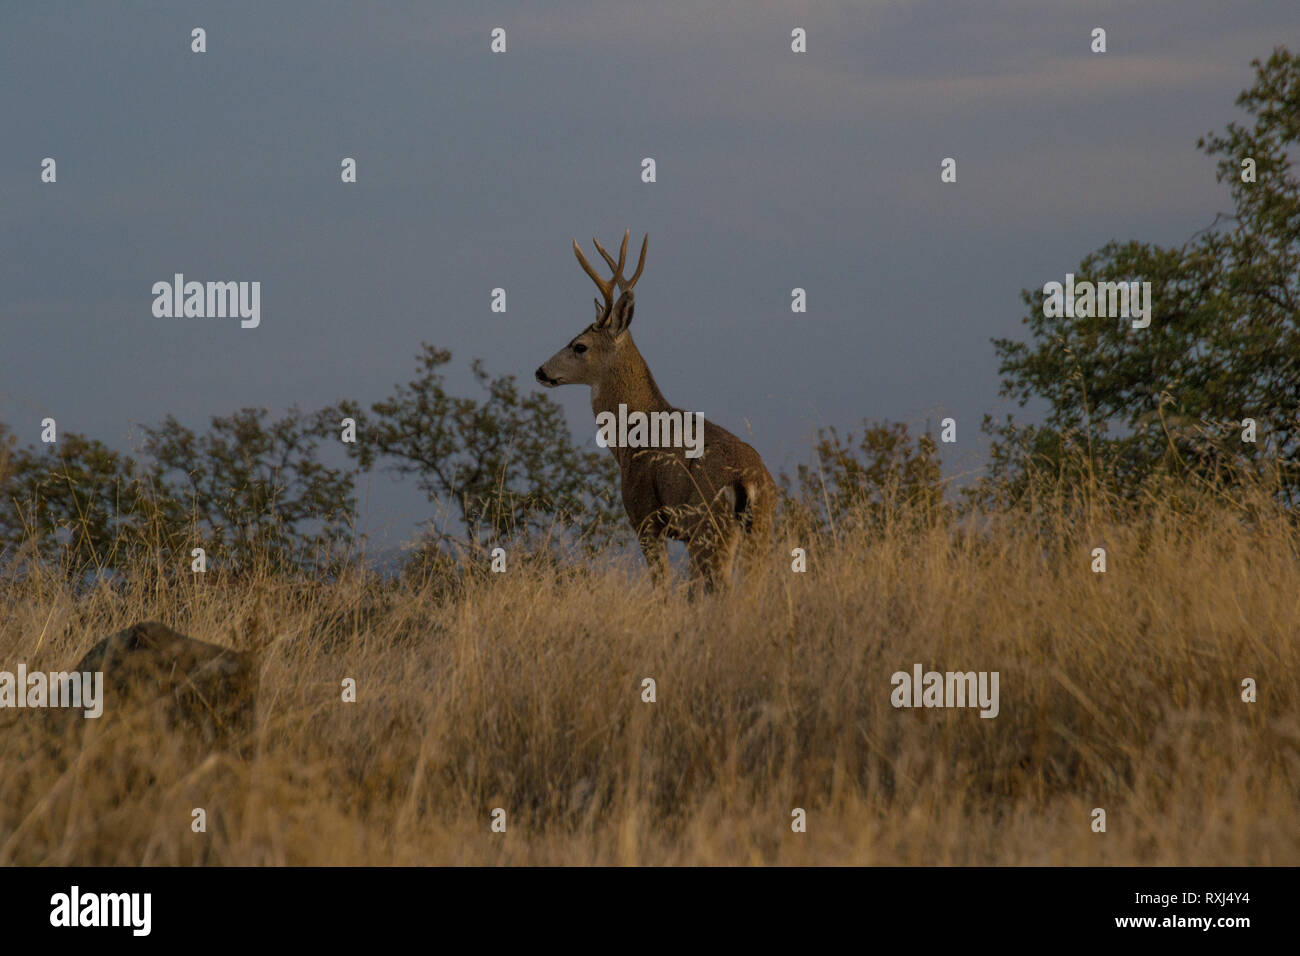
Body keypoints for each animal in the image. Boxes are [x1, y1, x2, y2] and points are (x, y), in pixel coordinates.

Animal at [536, 229, 776, 591]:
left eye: (579, 346)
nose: (541, 371)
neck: (631, 435)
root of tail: (749, 482)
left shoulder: (644, 515)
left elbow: (662, 587)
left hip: (709, 527)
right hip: (760, 528)